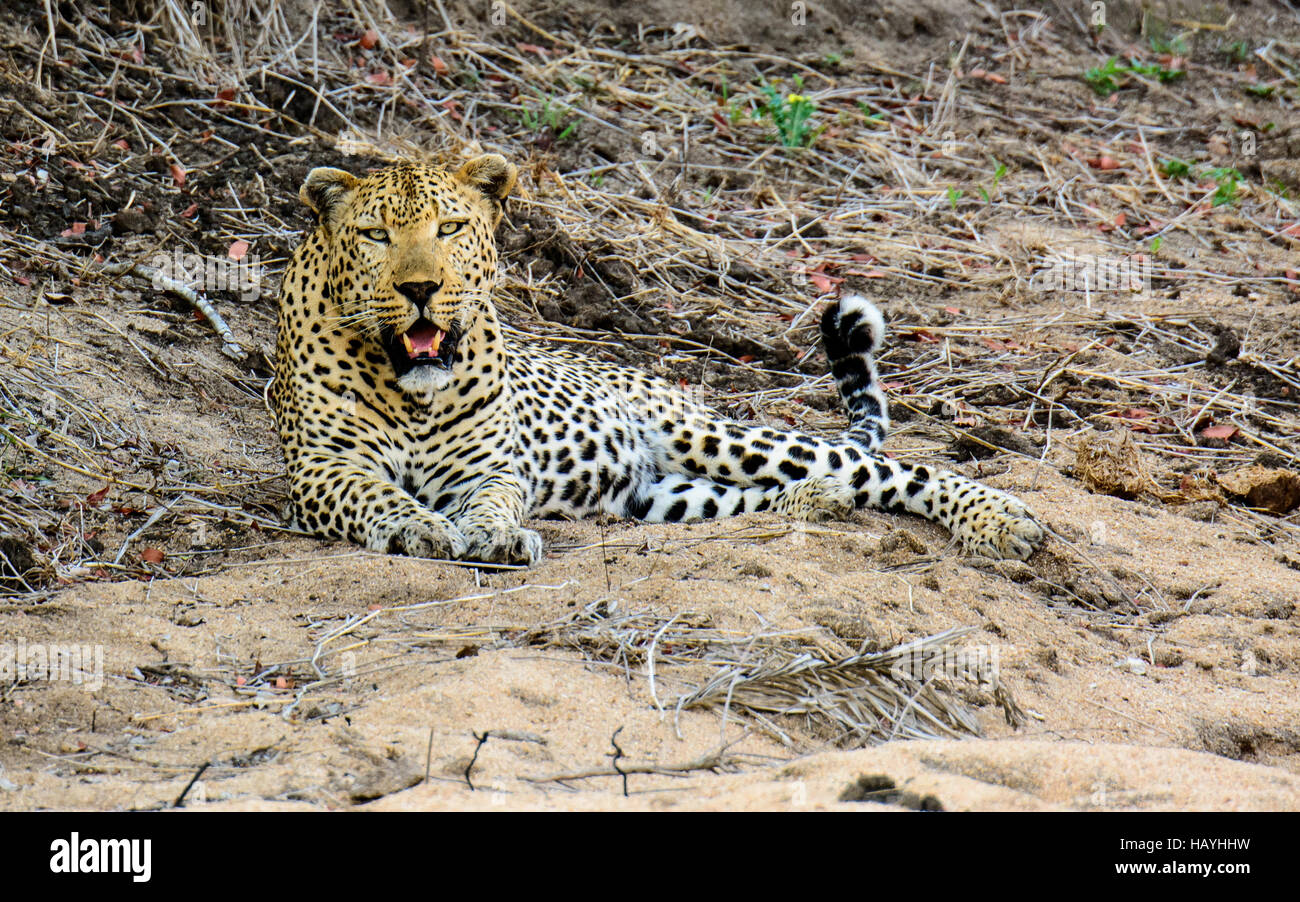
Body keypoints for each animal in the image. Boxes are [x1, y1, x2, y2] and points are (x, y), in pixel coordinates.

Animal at [269, 154, 1045, 567]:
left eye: (451, 227)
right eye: (375, 235)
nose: (421, 288)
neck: (414, 388)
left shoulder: (489, 466)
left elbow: (494, 499)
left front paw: (495, 534)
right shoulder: (322, 469)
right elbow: (376, 494)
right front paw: (423, 526)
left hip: (710, 435)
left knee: (890, 468)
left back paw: (1002, 520)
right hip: (658, 493)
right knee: (758, 495)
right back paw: (815, 501)